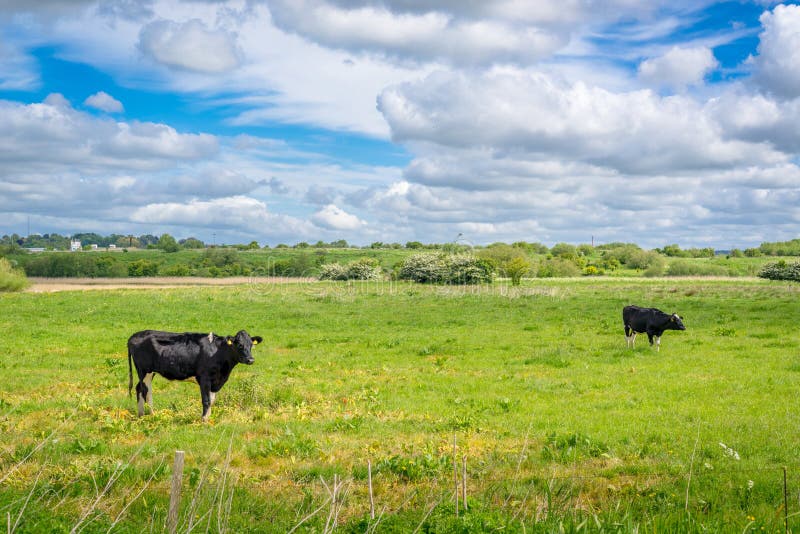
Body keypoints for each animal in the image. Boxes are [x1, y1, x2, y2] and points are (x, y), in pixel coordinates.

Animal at [127, 329, 263, 422]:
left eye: (251, 345)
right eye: (239, 345)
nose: (251, 360)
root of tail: (134, 335)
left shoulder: (215, 381)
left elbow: (212, 400)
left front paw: (208, 418)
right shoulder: (204, 378)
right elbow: (206, 400)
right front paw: (204, 420)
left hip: (150, 372)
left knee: (140, 389)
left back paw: (144, 415)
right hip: (144, 370)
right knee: (145, 391)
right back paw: (149, 416)